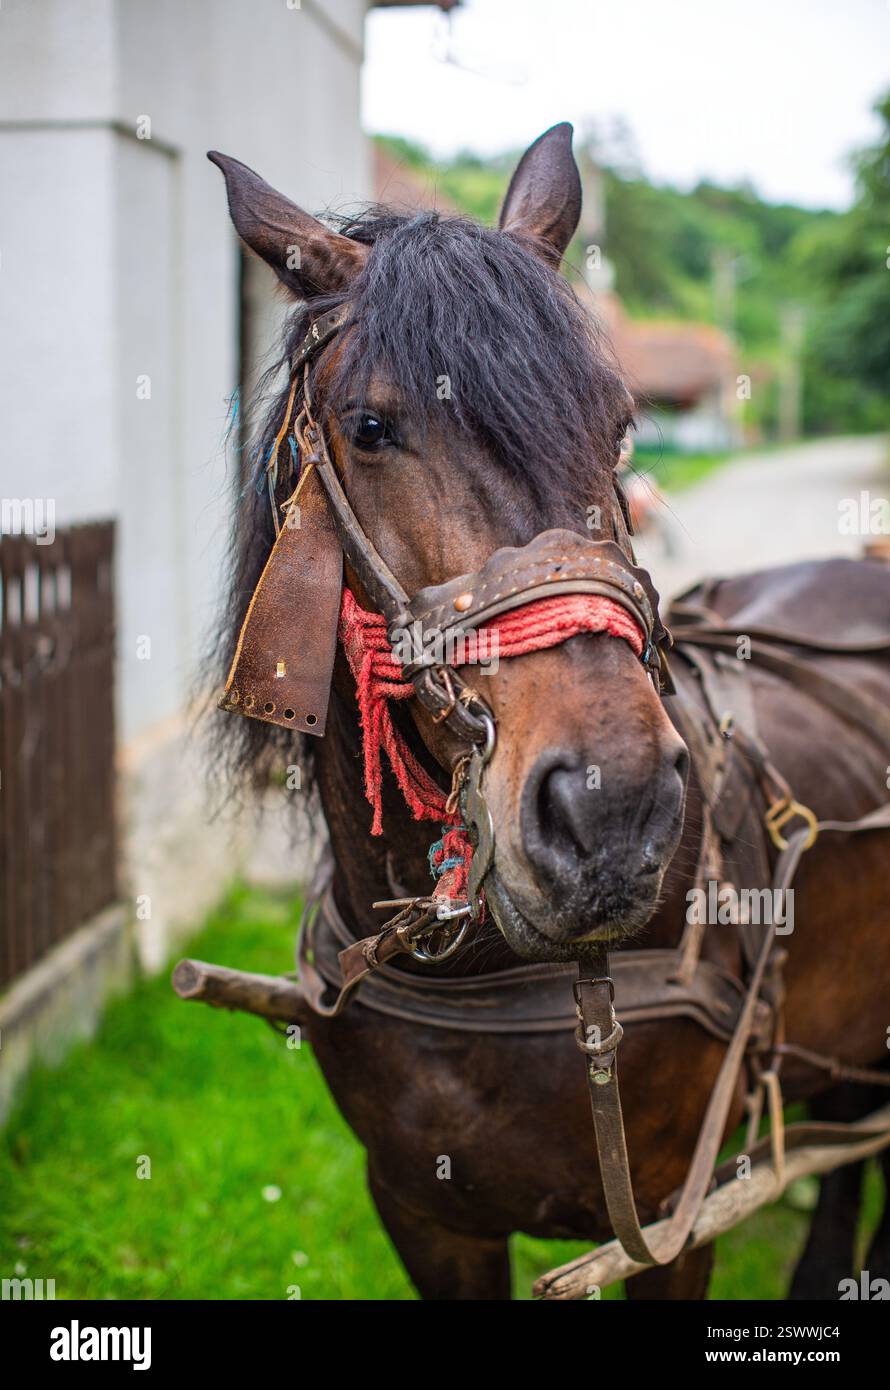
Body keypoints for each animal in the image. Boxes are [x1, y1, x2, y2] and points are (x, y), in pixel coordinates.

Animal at [205, 125, 890, 1300]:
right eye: (370, 427)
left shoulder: (671, 1219)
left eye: (618, 431)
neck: (488, 977)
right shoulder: (422, 1213)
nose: (613, 813)